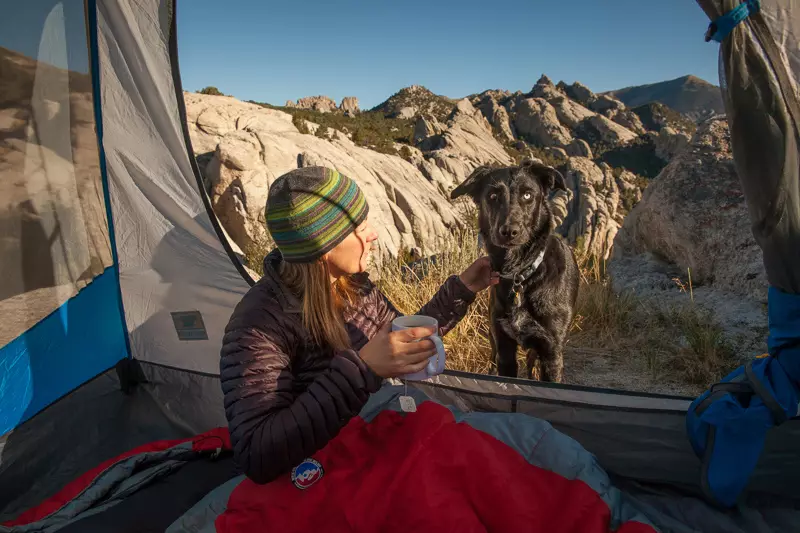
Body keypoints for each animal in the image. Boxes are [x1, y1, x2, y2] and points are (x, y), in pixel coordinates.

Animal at [454, 160, 580, 380]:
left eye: (528, 195)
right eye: (492, 196)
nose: (509, 232)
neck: (521, 274)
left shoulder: (552, 352)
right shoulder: (504, 348)